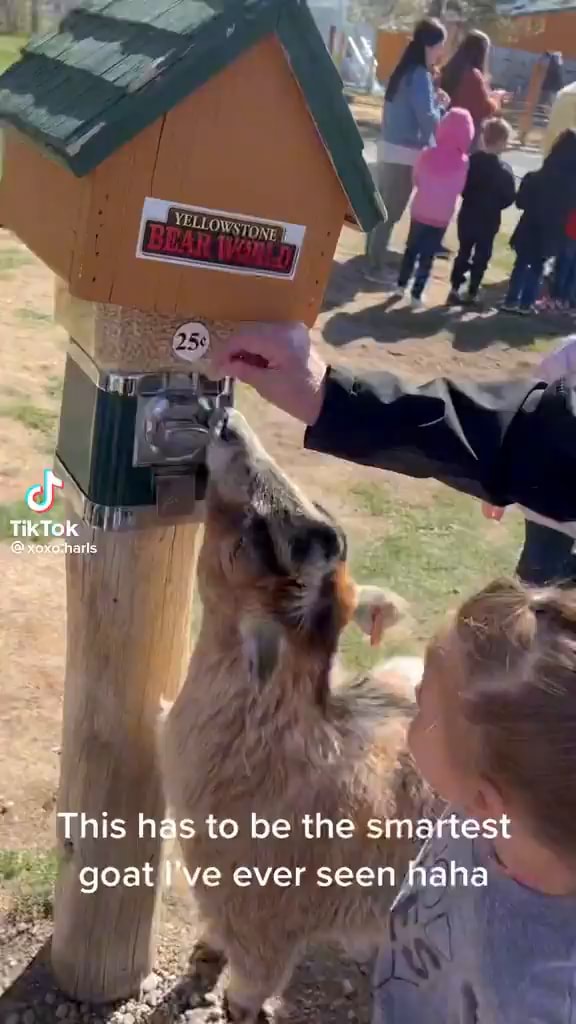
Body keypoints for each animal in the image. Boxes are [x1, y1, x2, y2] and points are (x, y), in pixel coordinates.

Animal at [159, 409, 432, 1021]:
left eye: (258, 539)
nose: (228, 422)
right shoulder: (225, 906)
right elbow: (209, 947)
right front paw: (193, 978)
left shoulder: (267, 936)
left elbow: (243, 999)